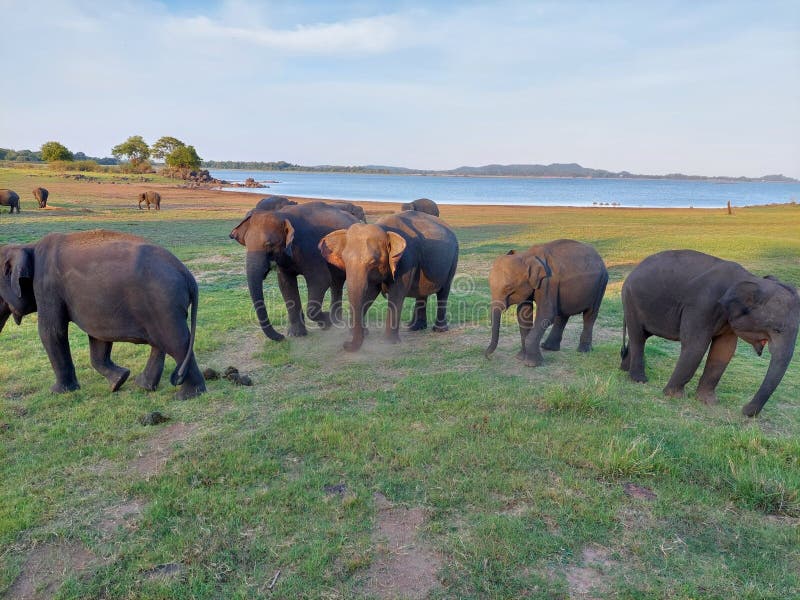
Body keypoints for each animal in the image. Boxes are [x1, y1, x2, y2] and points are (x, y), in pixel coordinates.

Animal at [0, 230, 206, 399]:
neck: (28, 247)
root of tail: (187, 275)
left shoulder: (47, 286)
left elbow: (51, 332)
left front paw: (58, 392)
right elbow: (98, 337)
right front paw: (118, 381)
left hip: (163, 302)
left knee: (175, 342)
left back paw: (187, 395)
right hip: (160, 306)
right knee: (161, 341)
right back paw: (145, 386)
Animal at [230, 201, 360, 340]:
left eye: (269, 245)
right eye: (246, 245)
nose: (281, 337)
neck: (283, 215)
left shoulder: (311, 249)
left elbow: (321, 280)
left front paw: (326, 324)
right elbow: (286, 284)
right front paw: (296, 334)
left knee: (337, 281)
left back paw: (335, 322)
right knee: (336, 282)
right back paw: (337, 321)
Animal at [319, 211, 459, 352]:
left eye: (373, 262)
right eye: (344, 260)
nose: (345, 344)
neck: (385, 230)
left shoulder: (406, 260)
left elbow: (396, 295)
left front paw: (388, 342)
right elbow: (369, 294)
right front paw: (358, 334)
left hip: (453, 260)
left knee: (443, 292)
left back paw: (439, 329)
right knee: (422, 293)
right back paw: (415, 327)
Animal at [620, 250, 800, 417]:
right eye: (776, 329)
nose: (744, 410)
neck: (748, 278)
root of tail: (634, 270)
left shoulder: (726, 319)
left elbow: (724, 350)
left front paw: (709, 402)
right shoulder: (701, 306)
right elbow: (696, 345)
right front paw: (673, 396)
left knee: (642, 335)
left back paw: (624, 370)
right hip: (631, 299)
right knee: (638, 337)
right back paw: (639, 380)